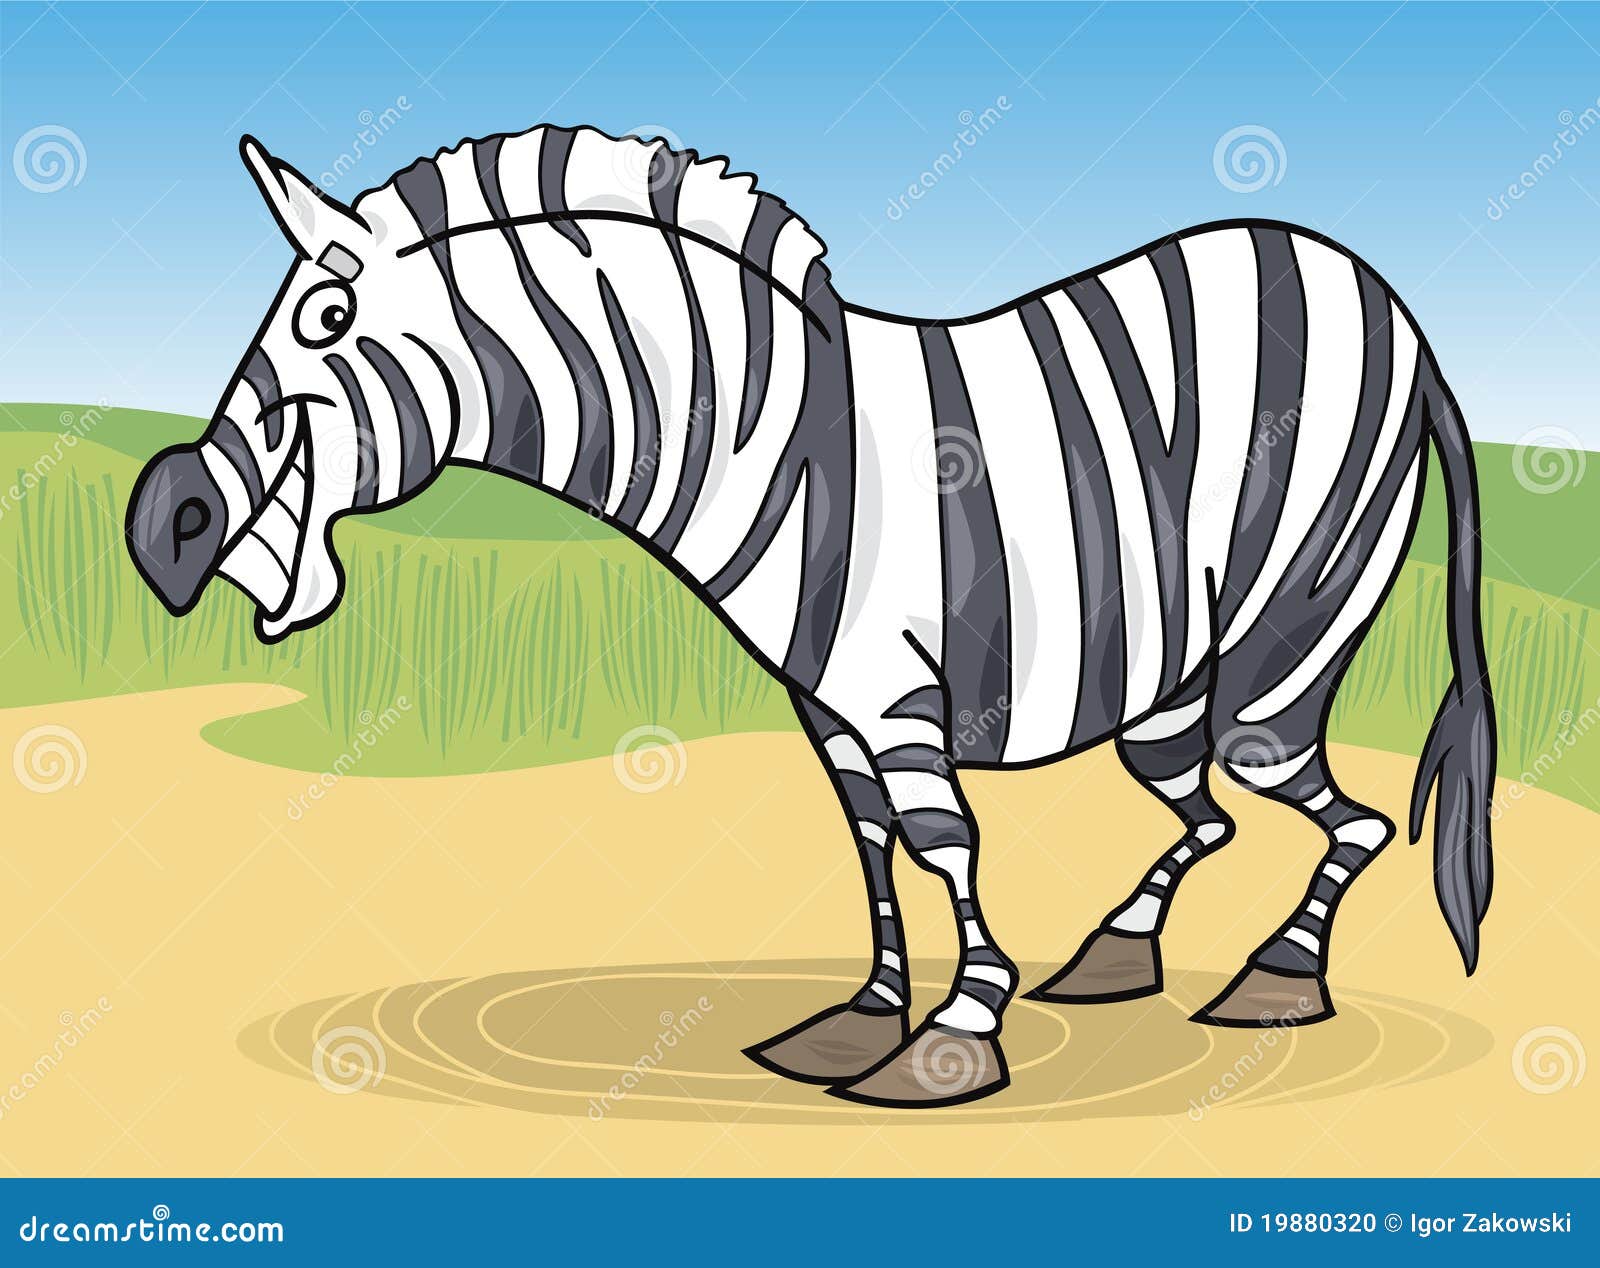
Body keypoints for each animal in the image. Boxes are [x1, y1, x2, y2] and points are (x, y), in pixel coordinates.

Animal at [126, 126, 1495, 1109]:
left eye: (326, 319)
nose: (159, 527)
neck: (771, 440)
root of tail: (1380, 296)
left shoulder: (895, 697)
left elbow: (943, 844)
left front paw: (956, 1035)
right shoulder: (829, 708)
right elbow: (874, 847)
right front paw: (864, 1019)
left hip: (1280, 650)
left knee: (1349, 818)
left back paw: (1278, 979)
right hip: (1162, 695)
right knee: (1210, 812)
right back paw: (1117, 953)